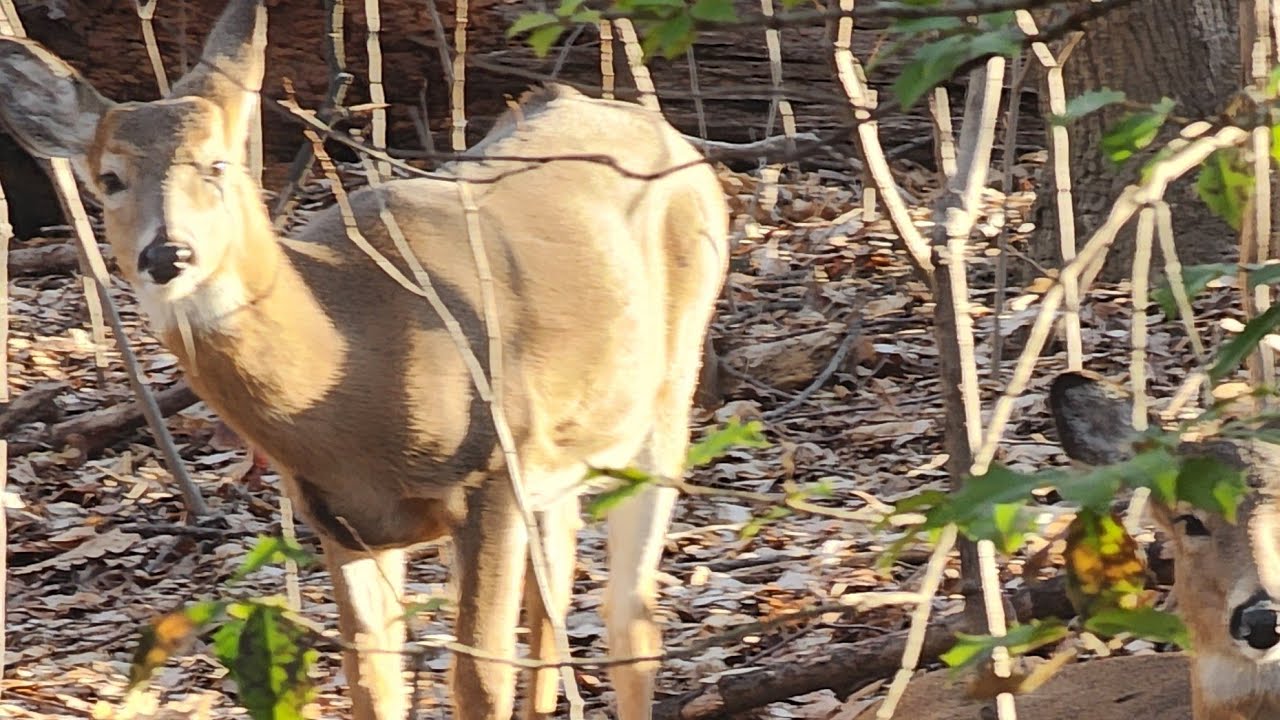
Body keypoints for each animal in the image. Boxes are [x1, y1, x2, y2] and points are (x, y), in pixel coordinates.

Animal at [0, 1, 729, 719]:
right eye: (110, 179)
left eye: (217, 164)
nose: (167, 253)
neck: (353, 374)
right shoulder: (343, 520)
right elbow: (372, 685)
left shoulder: (496, 468)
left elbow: (479, 681)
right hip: (561, 459)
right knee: (554, 599)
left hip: (667, 391)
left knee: (631, 619)